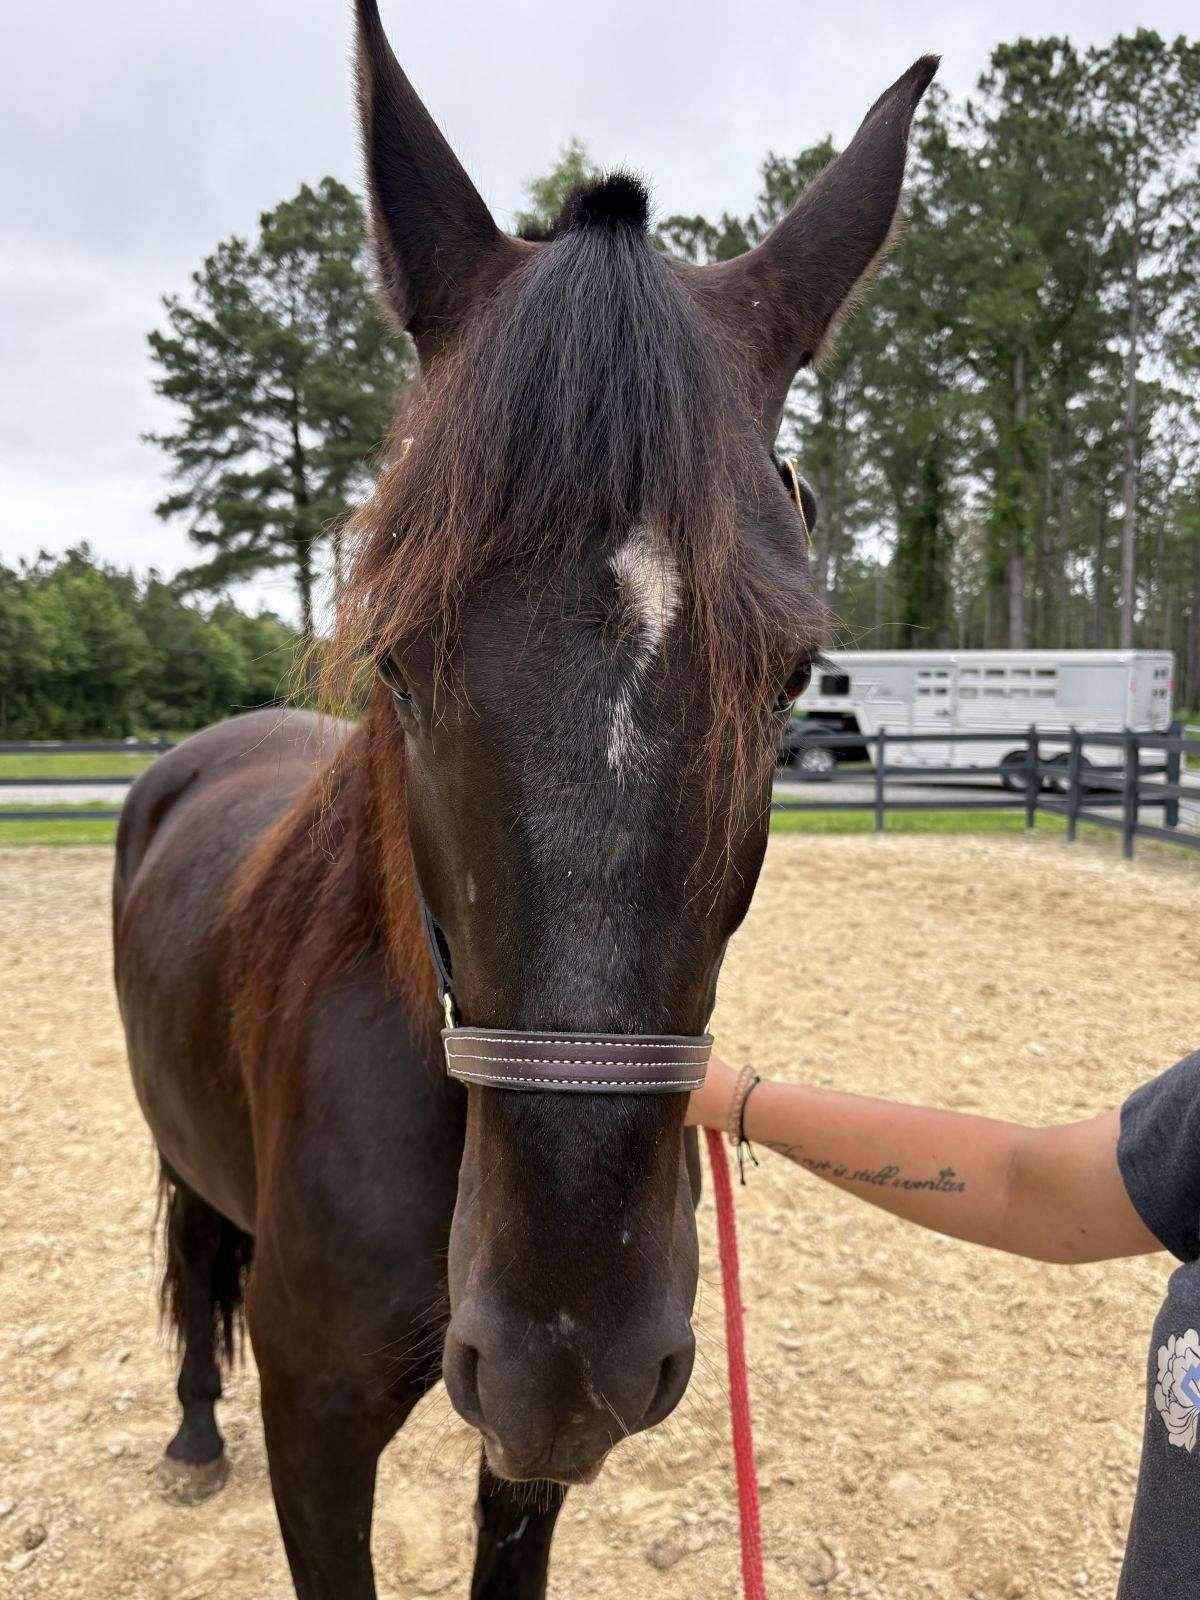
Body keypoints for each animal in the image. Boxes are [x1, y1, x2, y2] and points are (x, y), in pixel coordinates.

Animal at [112, 5, 935, 1594]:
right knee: (192, 1251)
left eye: (791, 675)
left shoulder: (525, 1450)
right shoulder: (320, 1426)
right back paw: (187, 1433)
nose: (574, 1346)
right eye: (397, 658)